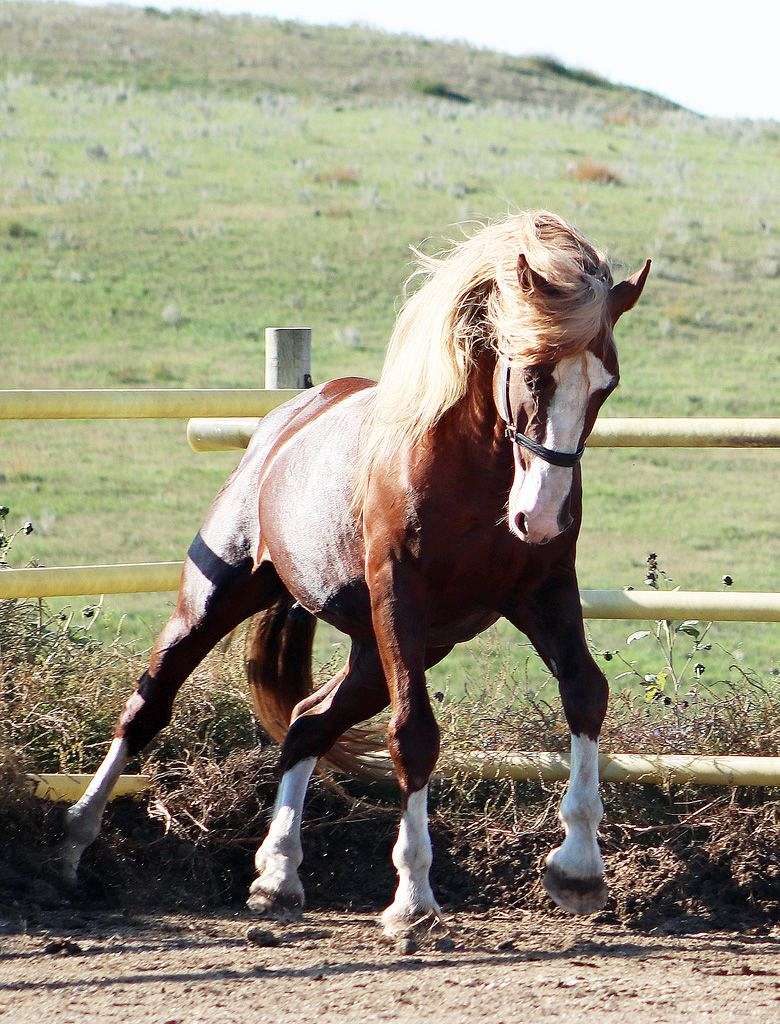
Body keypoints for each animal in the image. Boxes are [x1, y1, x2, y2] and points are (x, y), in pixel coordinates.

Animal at [57, 211, 650, 936]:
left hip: (383, 652)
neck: (475, 472)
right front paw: (413, 896)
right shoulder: (401, 594)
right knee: (148, 705)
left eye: (605, 385)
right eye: (533, 373)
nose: (538, 516)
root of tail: (287, 421)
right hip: (219, 597)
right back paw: (76, 840)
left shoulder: (542, 591)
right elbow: (415, 735)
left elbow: (586, 692)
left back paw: (277, 877)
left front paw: (579, 869)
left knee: (307, 720)